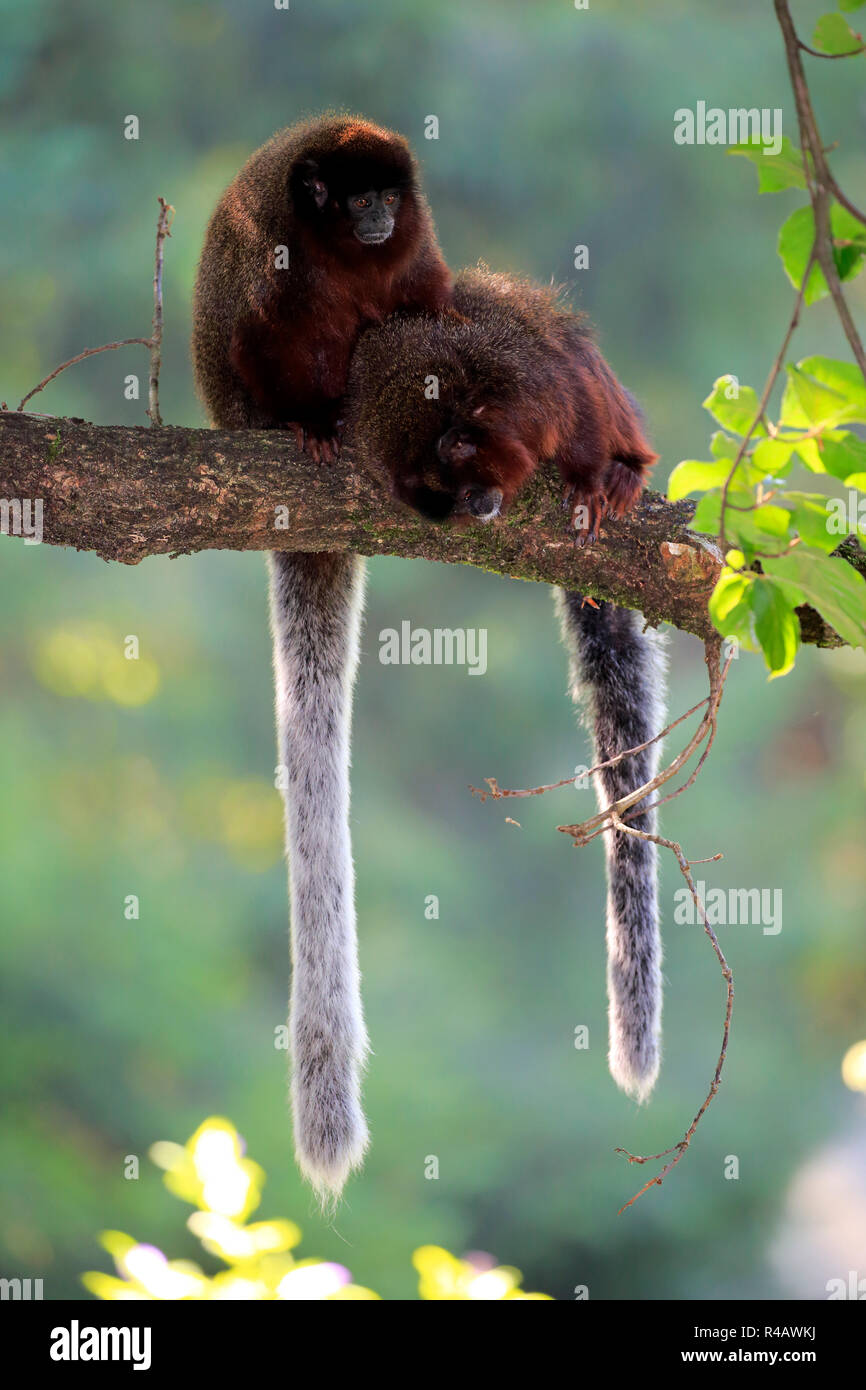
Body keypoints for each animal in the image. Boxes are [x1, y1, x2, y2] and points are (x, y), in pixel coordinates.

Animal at [348, 266, 667, 1103]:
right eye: (444, 502)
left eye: (461, 482)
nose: (476, 509)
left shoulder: (537, 379)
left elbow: (579, 399)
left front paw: (597, 477)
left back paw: (624, 470)